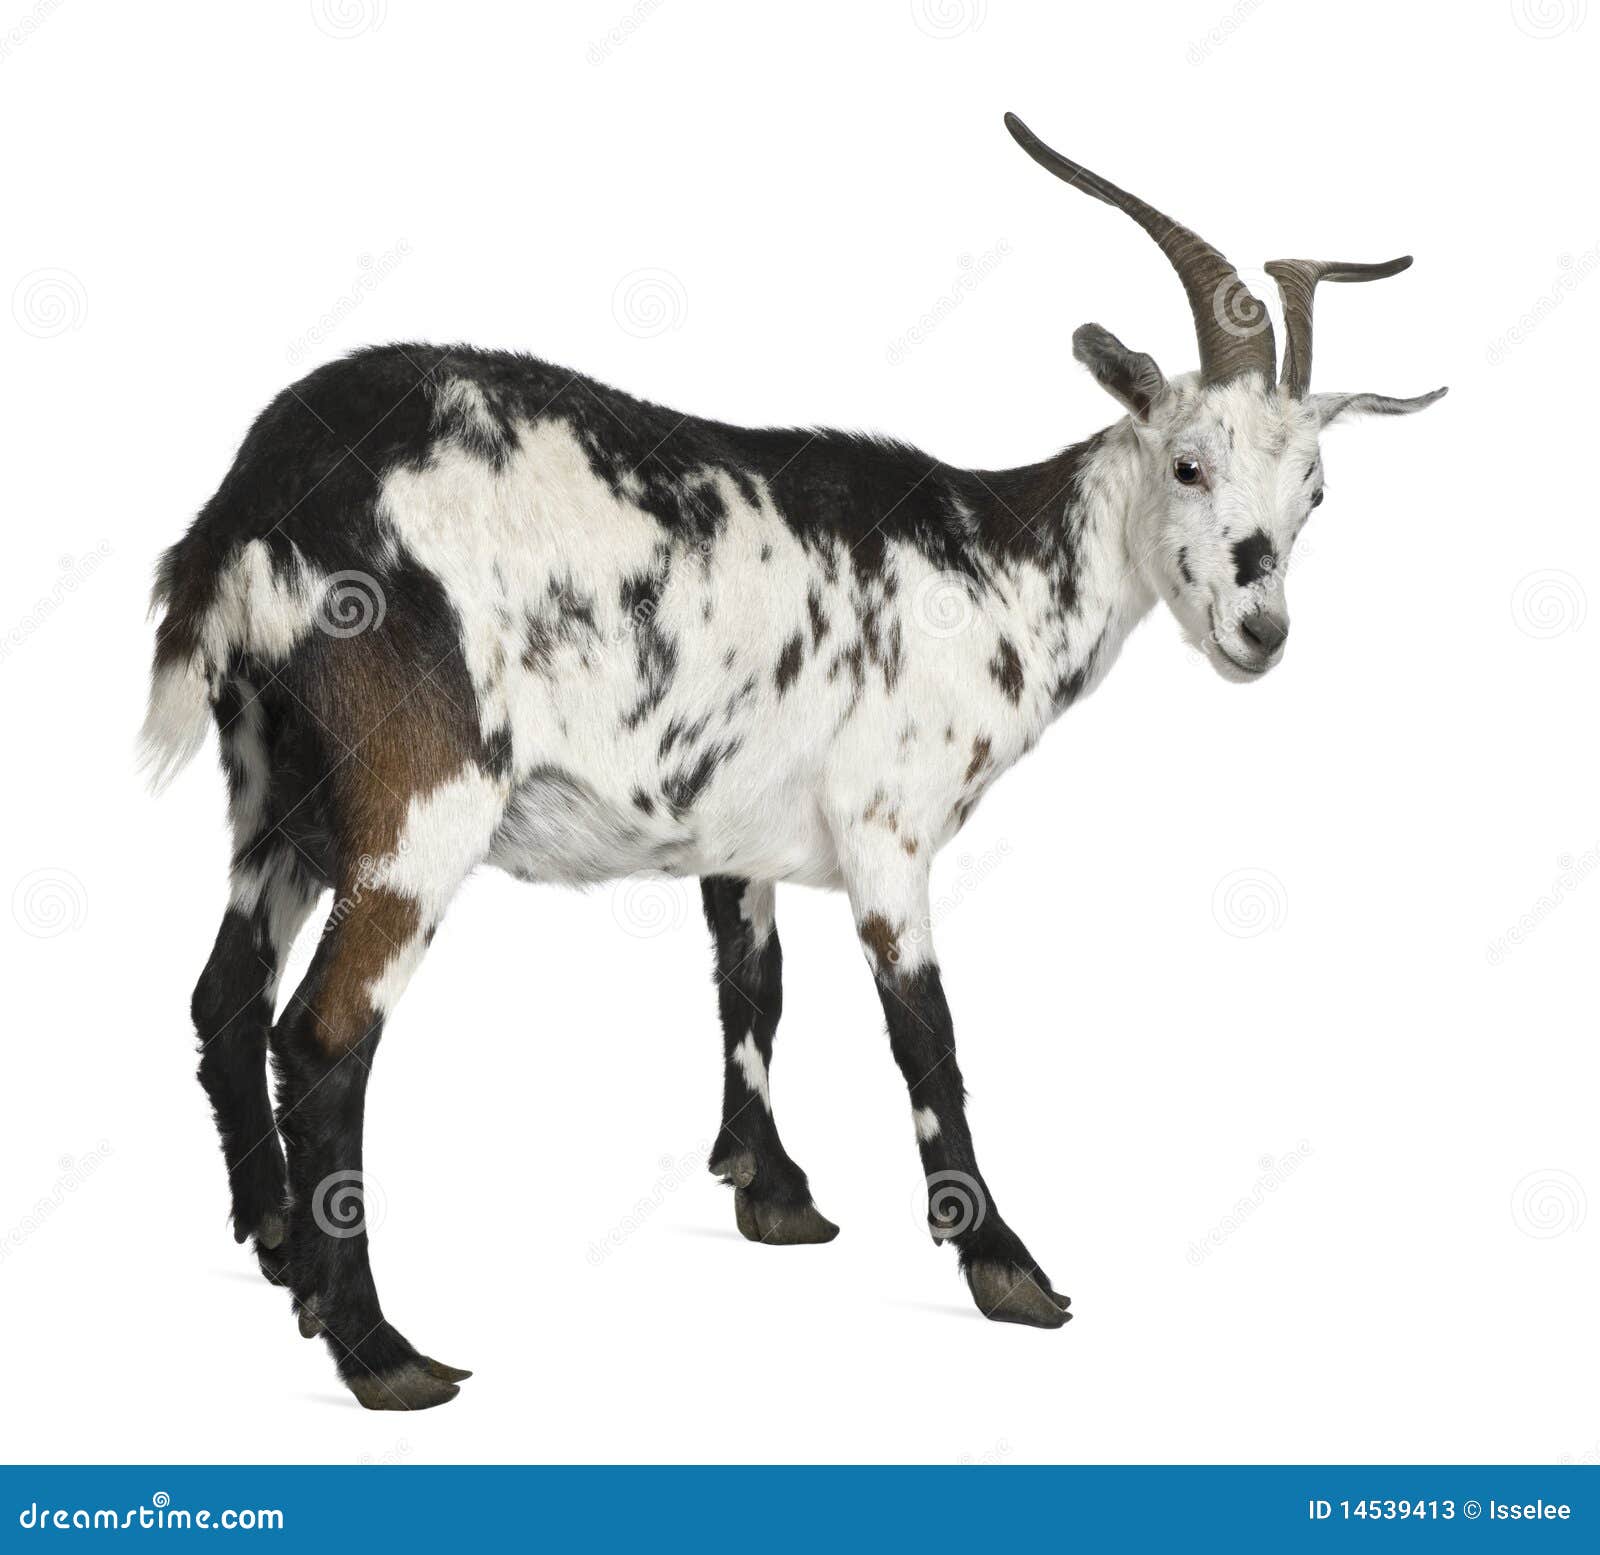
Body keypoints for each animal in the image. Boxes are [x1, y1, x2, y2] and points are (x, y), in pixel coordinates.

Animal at [142, 114, 1445, 1409]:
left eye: (1314, 493)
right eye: (1187, 464)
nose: (1260, 633)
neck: (991, 564)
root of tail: (256, 504)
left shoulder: (738, 828)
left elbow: (753, 984)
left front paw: (770, 1191)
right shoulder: (888, 824)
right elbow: (926, 1032)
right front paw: (1008, 1269)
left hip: (277, 792)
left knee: (224, 994)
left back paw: (282, 1254)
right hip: (416, 798)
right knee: (322, 1036)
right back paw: (382, 1351)